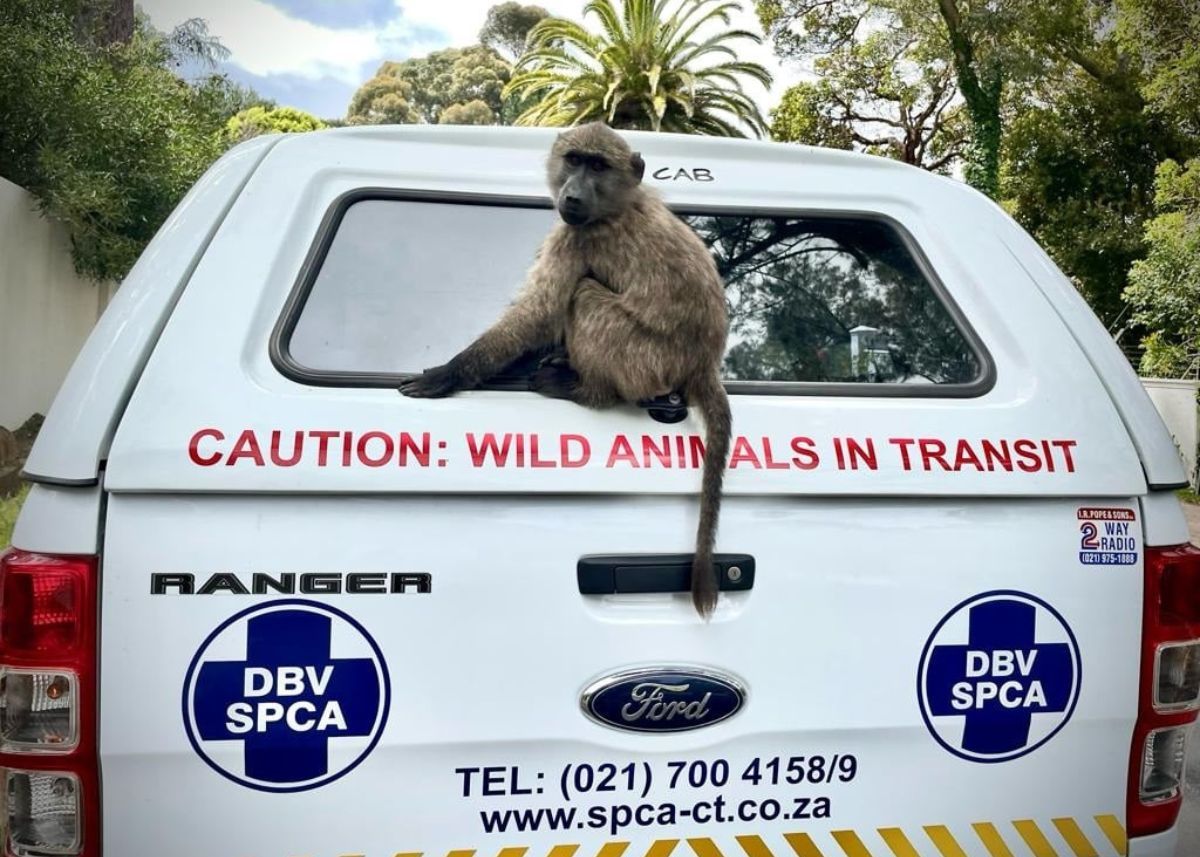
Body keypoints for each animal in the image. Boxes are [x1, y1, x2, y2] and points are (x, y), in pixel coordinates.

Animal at [399, 122, 731, 617]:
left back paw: (584, 388)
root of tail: (704, 362)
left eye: (597, 165)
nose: (572, 194)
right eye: (574, 160)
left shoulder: (576, 236)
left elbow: (539, 312)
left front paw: (449, 373)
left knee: (584, 296)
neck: (621, 202)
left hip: (645, 358)